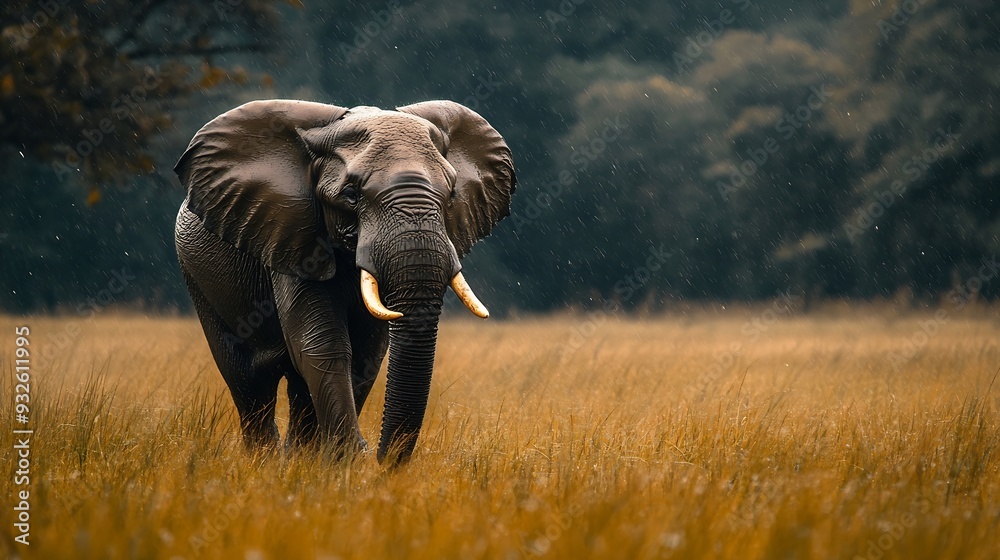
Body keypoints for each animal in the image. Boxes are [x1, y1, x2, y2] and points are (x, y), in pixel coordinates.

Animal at [173, 99, 516, 464]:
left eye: (451, 194)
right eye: (351, 194)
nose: (381, 459)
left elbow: (367, 352)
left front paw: (334, 461)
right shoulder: (293, 238)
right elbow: (321, 343)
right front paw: (349, 457)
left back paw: (298, 457)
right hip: (198, 279)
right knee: (248, 381)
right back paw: (264, 461)